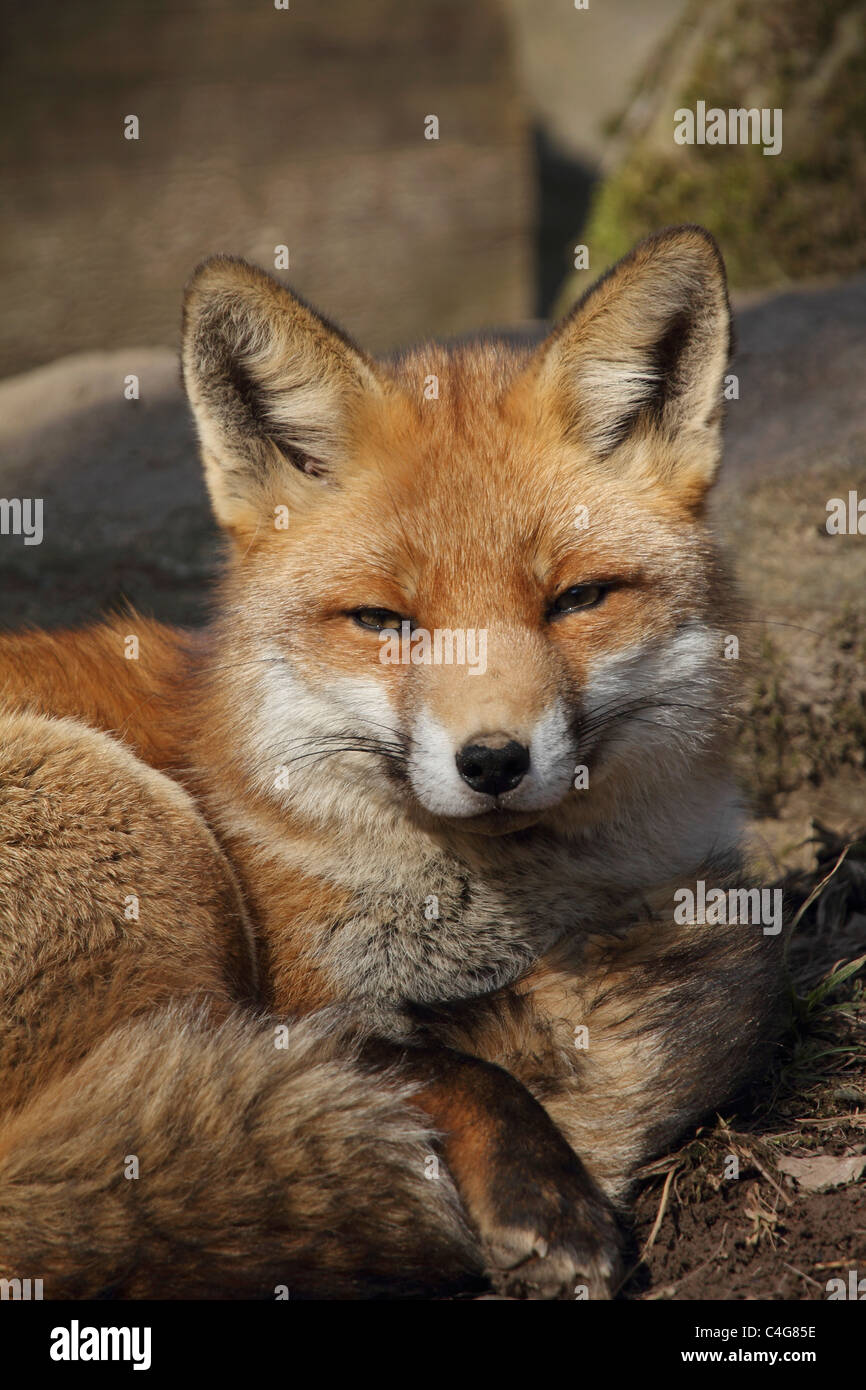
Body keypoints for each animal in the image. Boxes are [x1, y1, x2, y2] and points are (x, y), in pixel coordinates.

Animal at [0, 226, 784, 1299]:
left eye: (577, 600)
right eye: (383, 620)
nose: (493, 760)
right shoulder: (298, 1001)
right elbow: (453, 1068)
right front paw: (547, 1196)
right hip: (141, 836)